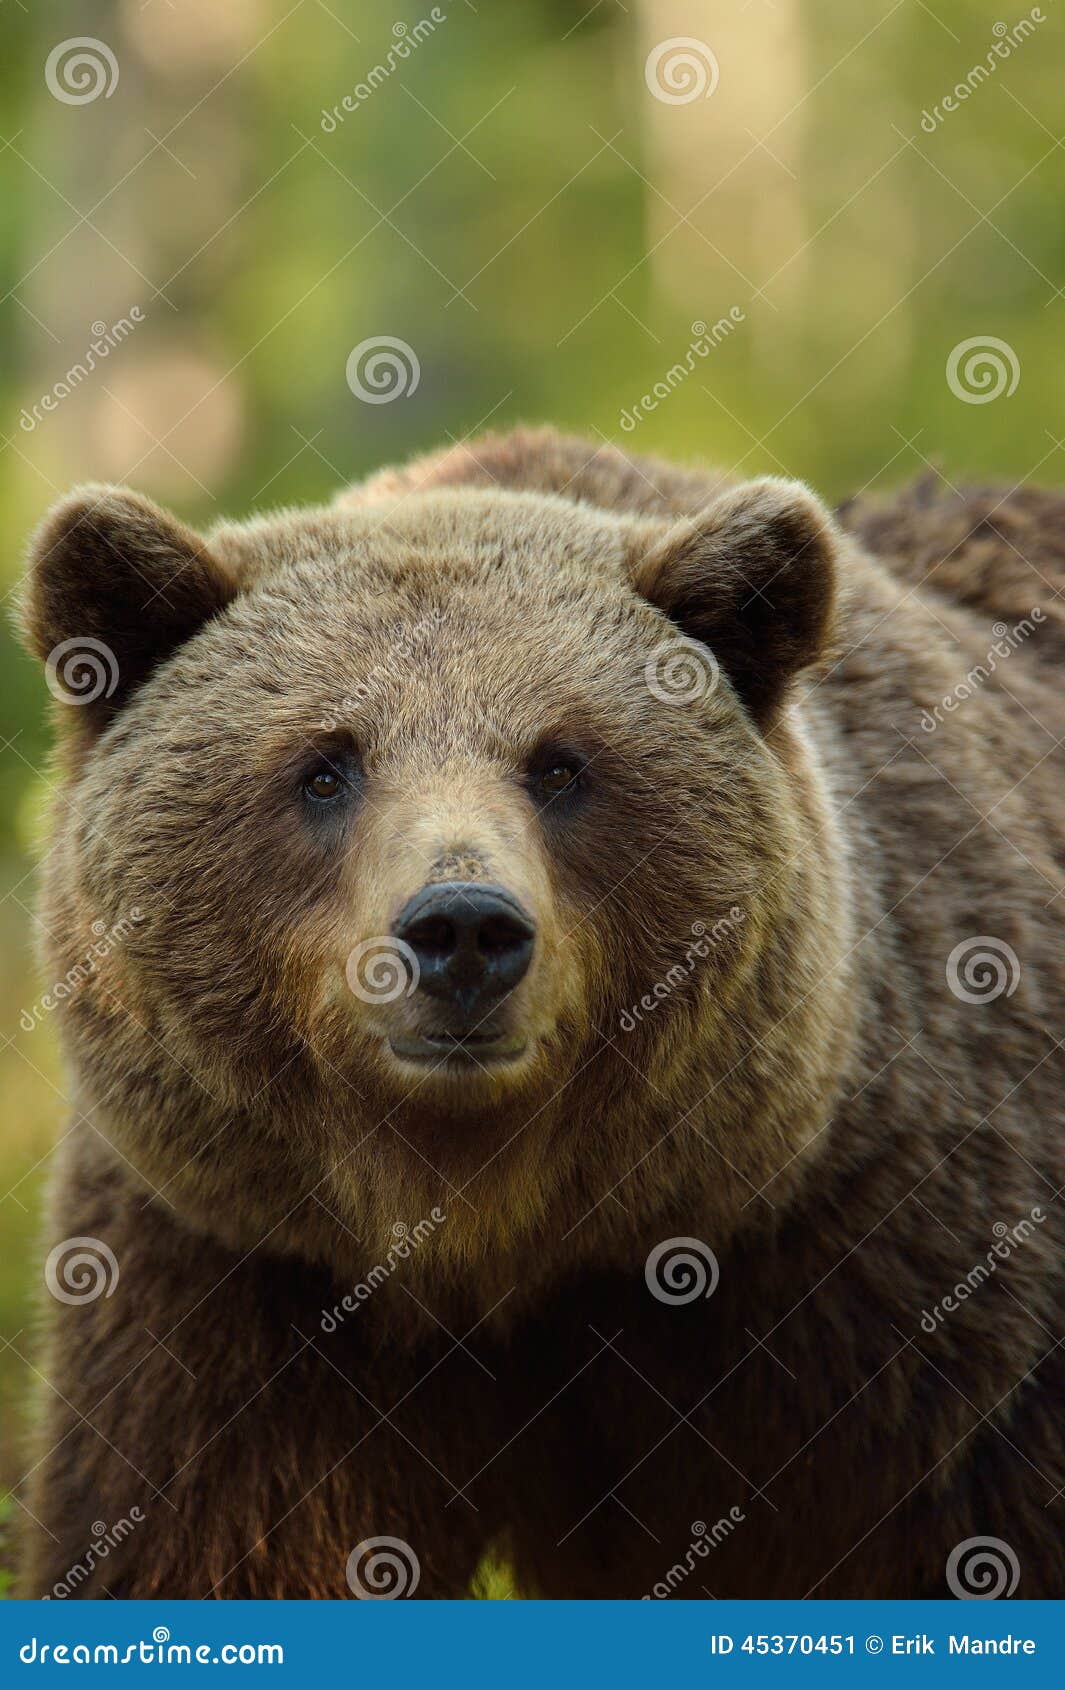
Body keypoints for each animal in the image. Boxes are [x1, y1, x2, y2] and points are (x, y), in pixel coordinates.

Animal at [13, 426, 1065, 1600]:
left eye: (561, 764)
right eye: (325, 767)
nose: (462, 928)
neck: (502, 1237)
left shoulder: (885, 1291)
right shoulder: (231, 1285)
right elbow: (210, 1548)